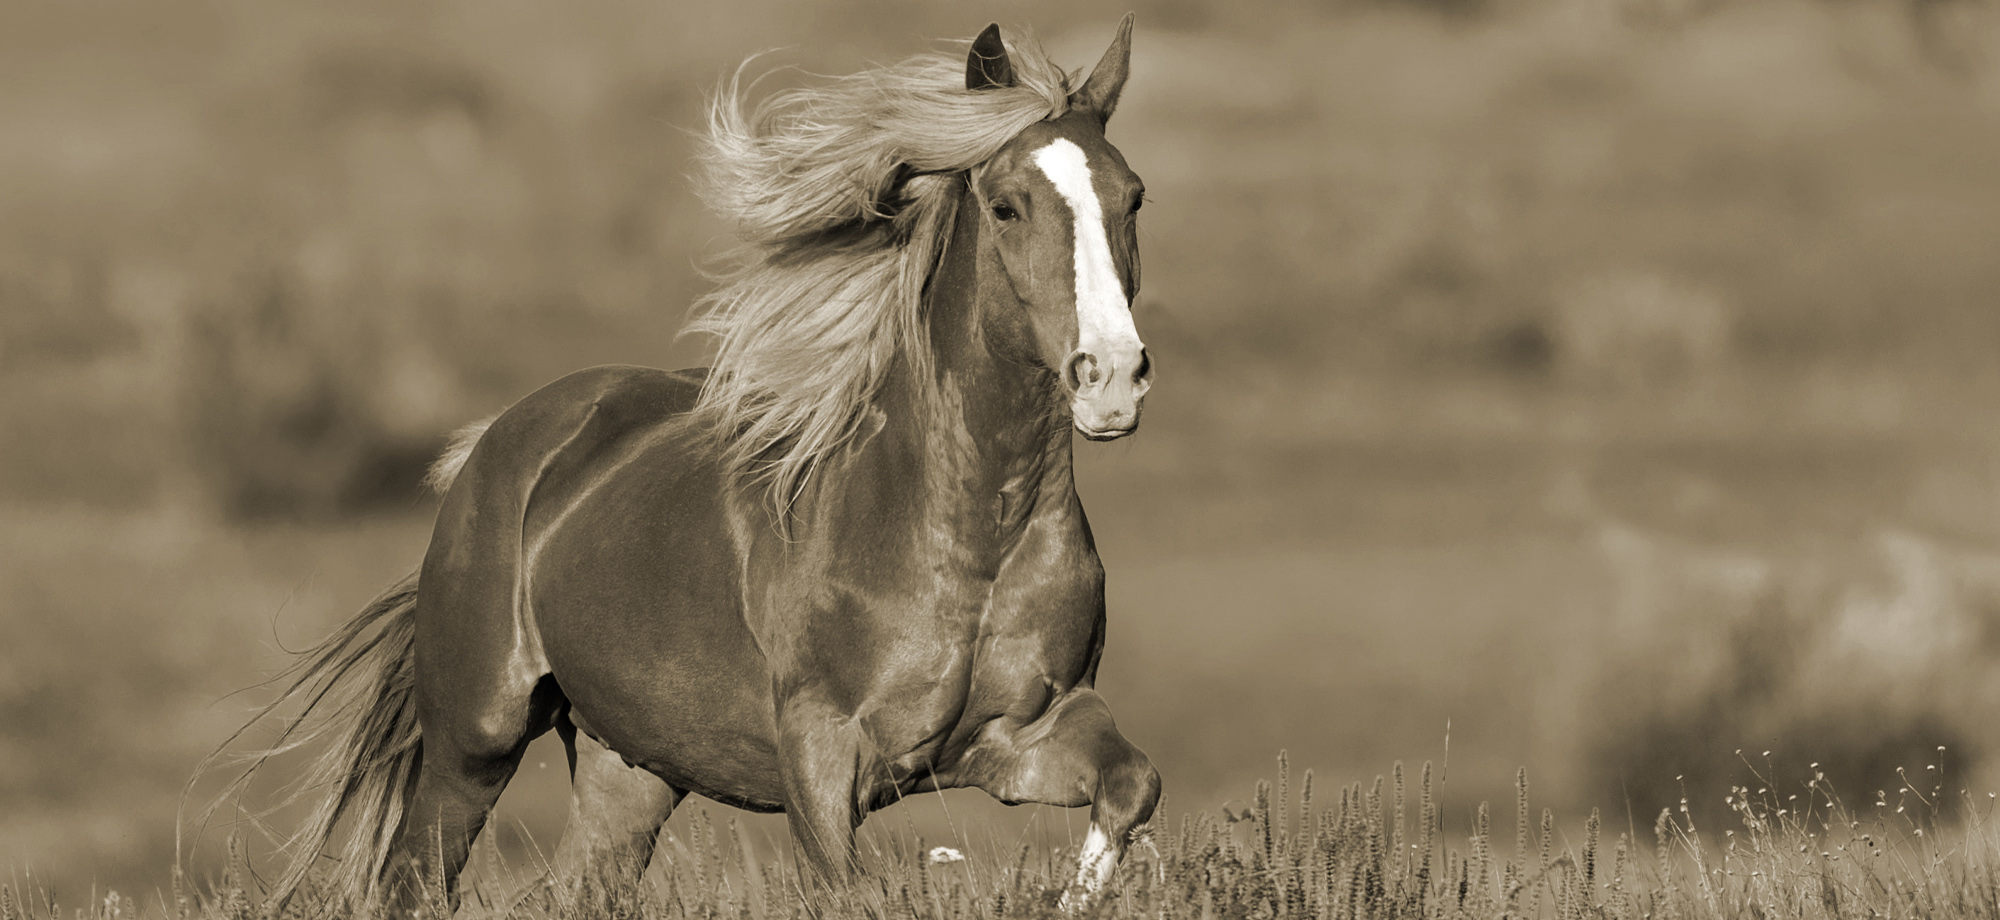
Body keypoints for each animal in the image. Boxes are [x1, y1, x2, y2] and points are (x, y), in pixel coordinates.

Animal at [221, 17, 1159, 916]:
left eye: (1133, 197)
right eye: (1006, 207)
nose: (1112, 376)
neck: (968, 536)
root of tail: (497, 448)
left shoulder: (1022, 734)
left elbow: (1132, 784)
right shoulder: (820, 756)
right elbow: (846, 890)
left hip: (629, 767)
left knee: (580, 885)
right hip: (475, 739)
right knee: (416, 877)